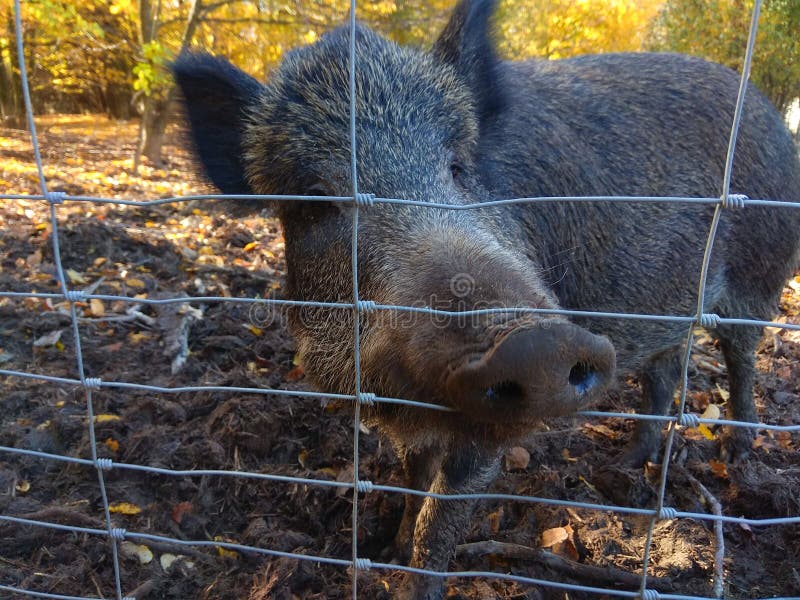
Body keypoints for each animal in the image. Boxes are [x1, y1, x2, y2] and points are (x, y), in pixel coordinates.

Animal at [173, 0, 800, 596]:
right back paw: (627, 464)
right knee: (666, 373)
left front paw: (413, 573)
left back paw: (737, 456)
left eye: (458, 167)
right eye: (315, 200)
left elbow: (439, 523)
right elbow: (413, 477)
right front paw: (388, 547)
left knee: (741, 356)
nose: (537, 345)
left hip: (758, 275)